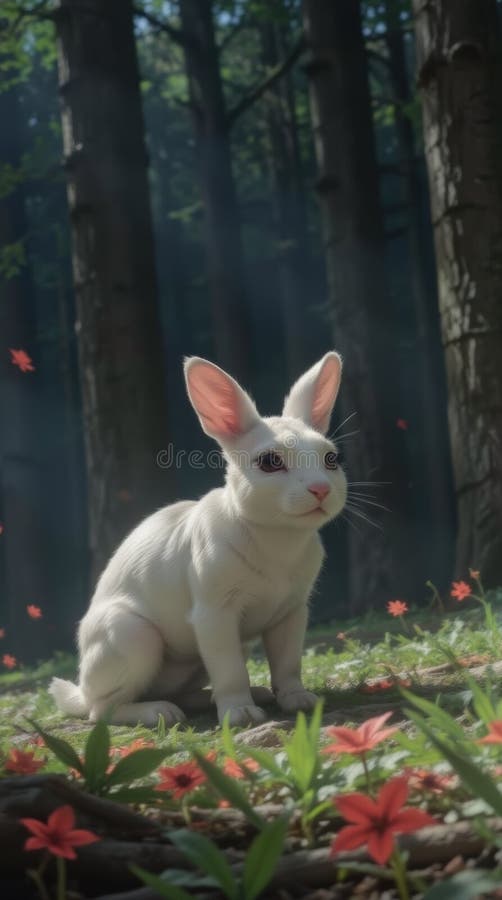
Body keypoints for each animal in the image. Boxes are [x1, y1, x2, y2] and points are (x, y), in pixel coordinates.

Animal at [50, 352, 347, 728]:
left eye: (332, 459)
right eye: (270, 462)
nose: (321, 490)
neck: (275, 538)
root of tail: (82, 690)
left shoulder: (290, 615)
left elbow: (287, 664)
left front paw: (299, 700)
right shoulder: (214, 616)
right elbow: (230, 671)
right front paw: (240, 714)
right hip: (132, 637)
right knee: (103, 709)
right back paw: (159, 712)